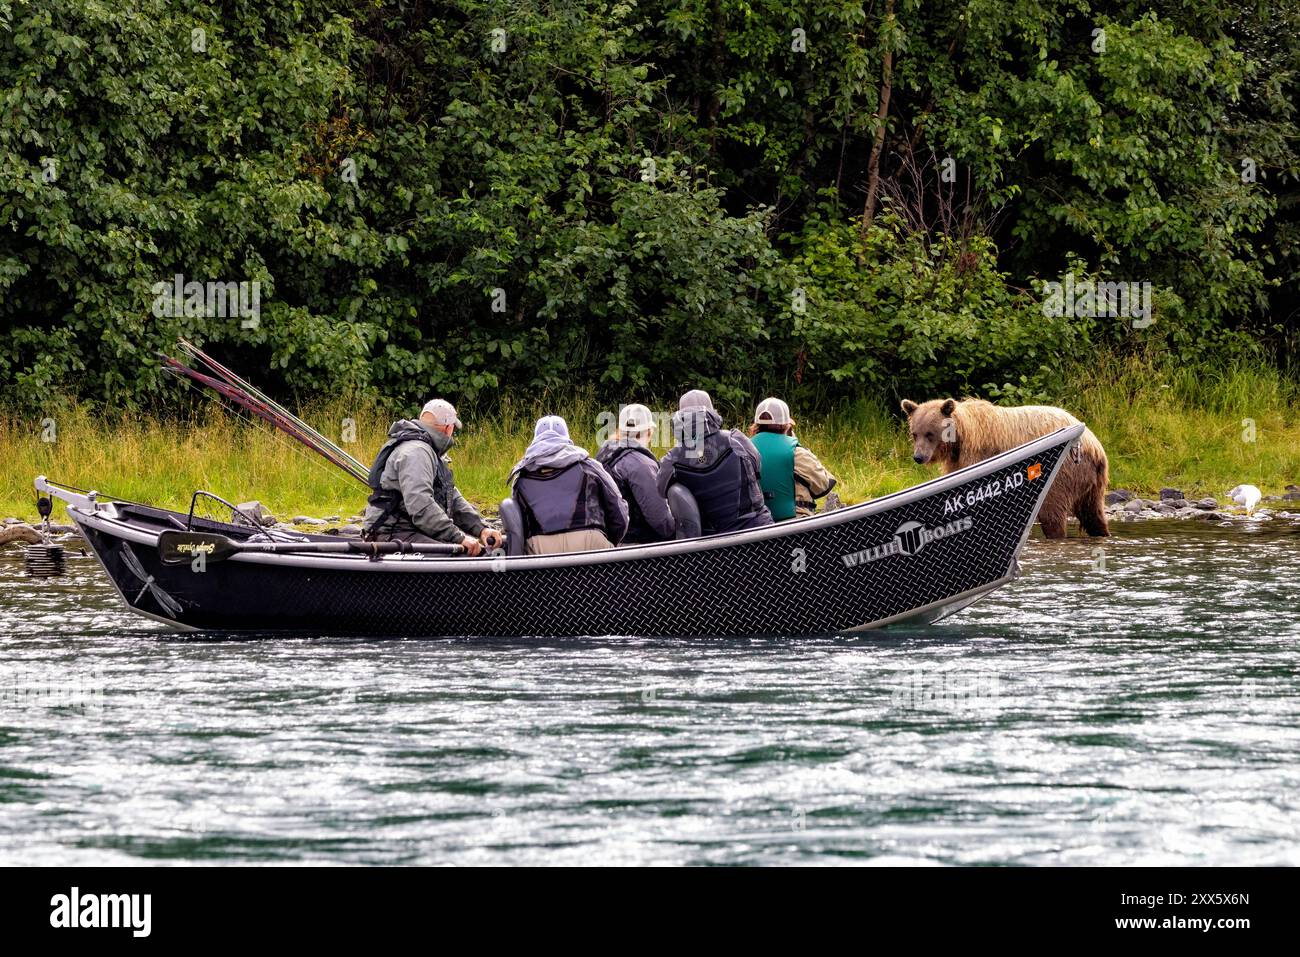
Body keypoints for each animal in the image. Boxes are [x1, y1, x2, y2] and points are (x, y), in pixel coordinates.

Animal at [900, 397, 1109, 538]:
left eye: (930, 433)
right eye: (915, 433)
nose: (918, 457)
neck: (960, 439)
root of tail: (1095, 447)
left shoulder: (978, 456)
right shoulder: (956, 462)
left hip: (1064, 473)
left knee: (1053, 512)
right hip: (1091, 480)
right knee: (1093, 514)